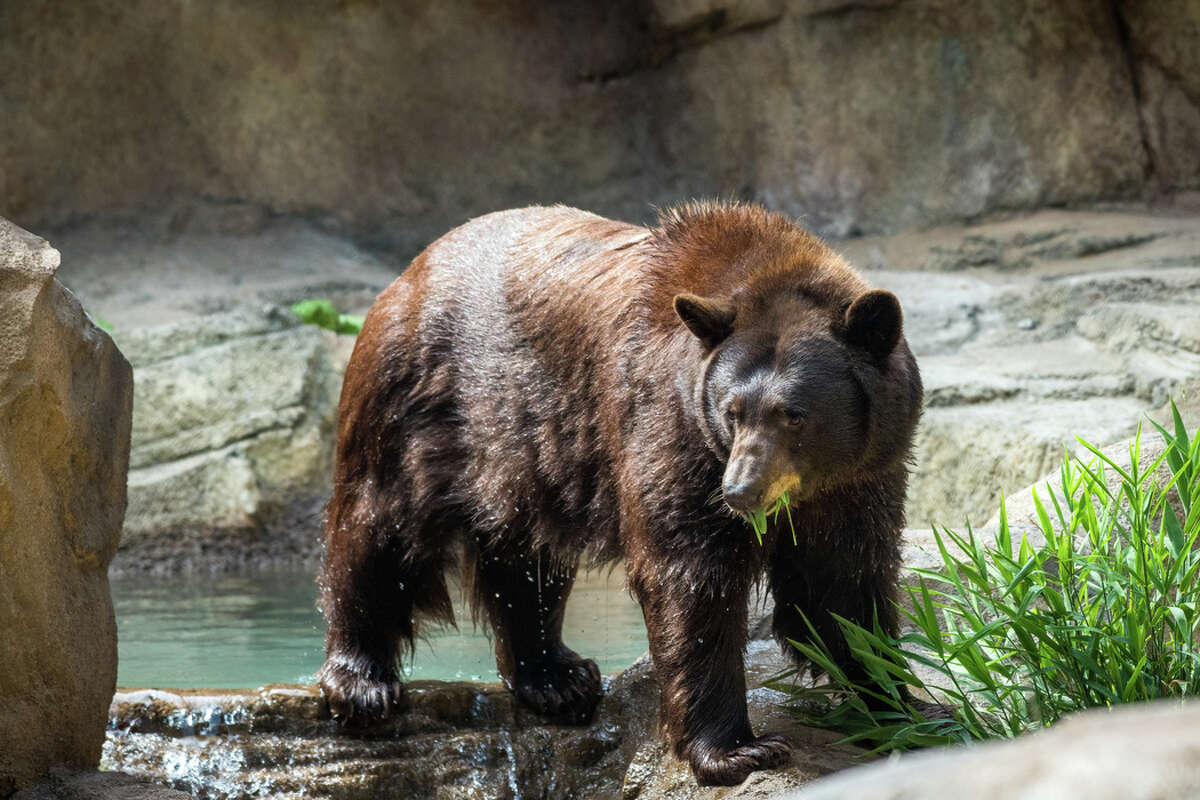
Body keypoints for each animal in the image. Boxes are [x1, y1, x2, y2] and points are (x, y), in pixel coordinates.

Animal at [317, 201, 923, 787]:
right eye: (732, 411)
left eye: (793, 414)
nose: (740, 490)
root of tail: (411, 269)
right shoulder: (668, 427)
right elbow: (690, 578)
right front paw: (737, 748)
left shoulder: (861, 477)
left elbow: (844, 583)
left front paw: (897, 702)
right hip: (418, 402)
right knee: (381, 530)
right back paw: (361, 681)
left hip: (525, 455)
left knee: (525, 557)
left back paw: (554, 677)